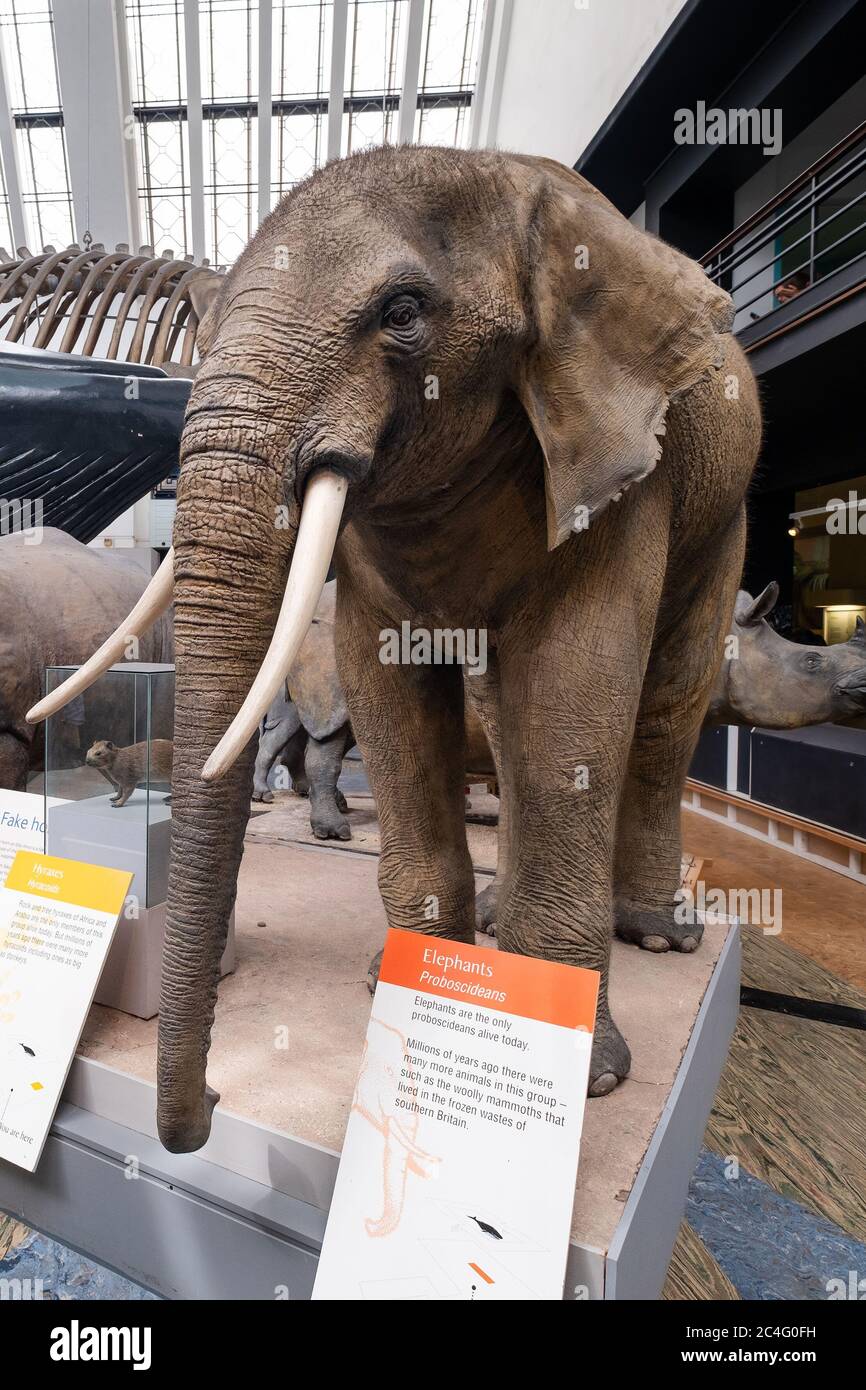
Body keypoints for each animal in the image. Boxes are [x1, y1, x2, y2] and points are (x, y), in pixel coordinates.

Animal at [31, 145, 761, 1152]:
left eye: (404, 313)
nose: (209, 1106)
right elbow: (388, 687)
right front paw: (411, 995)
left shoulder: (616, 457)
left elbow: (573, 686)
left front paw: (584, 1080)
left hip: (721, 507)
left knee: (661, 708)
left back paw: (654, 932)